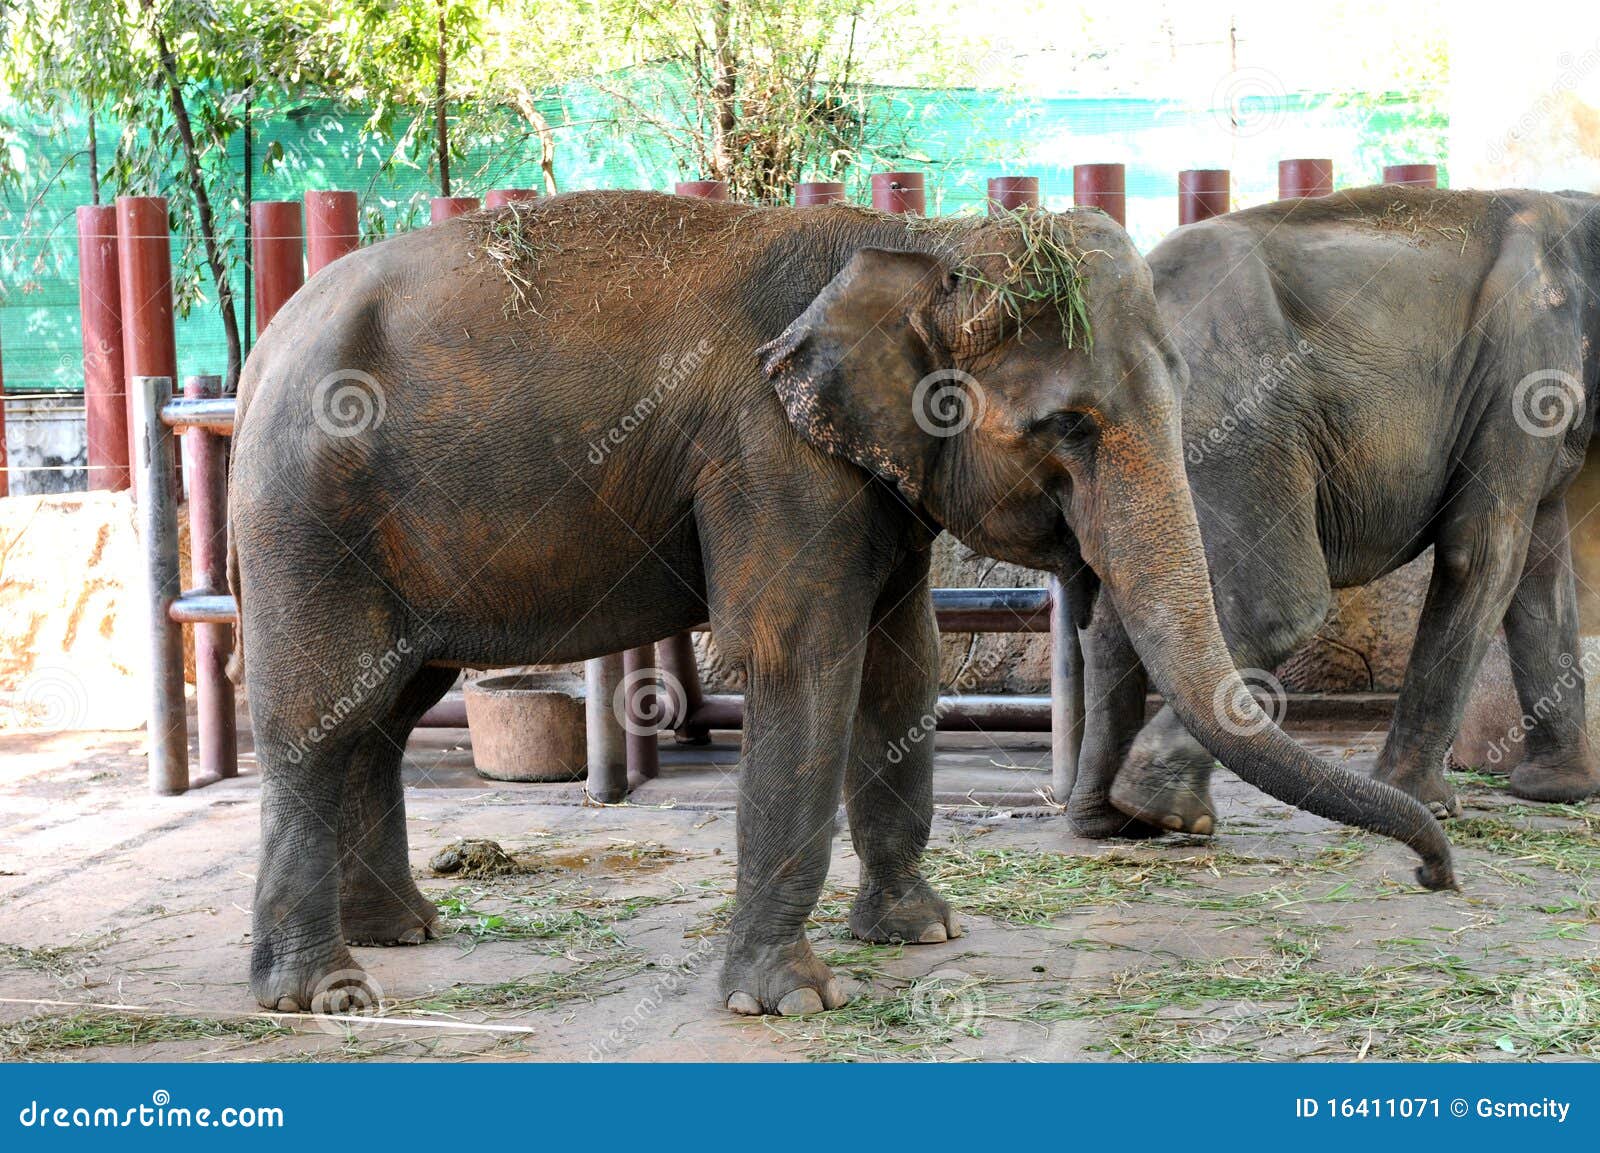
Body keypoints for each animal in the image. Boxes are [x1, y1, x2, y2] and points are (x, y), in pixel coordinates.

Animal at [227, 190, 1453, 1019]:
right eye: (1066, 428)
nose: (1435, 875)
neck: (925, 245)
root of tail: (260, 347)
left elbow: (903, 661)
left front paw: (922, 932)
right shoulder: (771, 453)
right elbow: (804, 656)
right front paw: (791, 1001)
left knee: (384, 709)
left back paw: (404, 933)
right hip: (307, 516)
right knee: (319, 716)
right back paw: (324, 992)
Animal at [1069, 185, 1600, 842]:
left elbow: (1541, 565)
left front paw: (1558, 792)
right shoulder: (1526, 368)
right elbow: (1480, 550)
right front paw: (1426, 804)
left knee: (1116, 617)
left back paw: (1111, 821)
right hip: (1232, 425)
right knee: (1279, 610)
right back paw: (1163, 809)